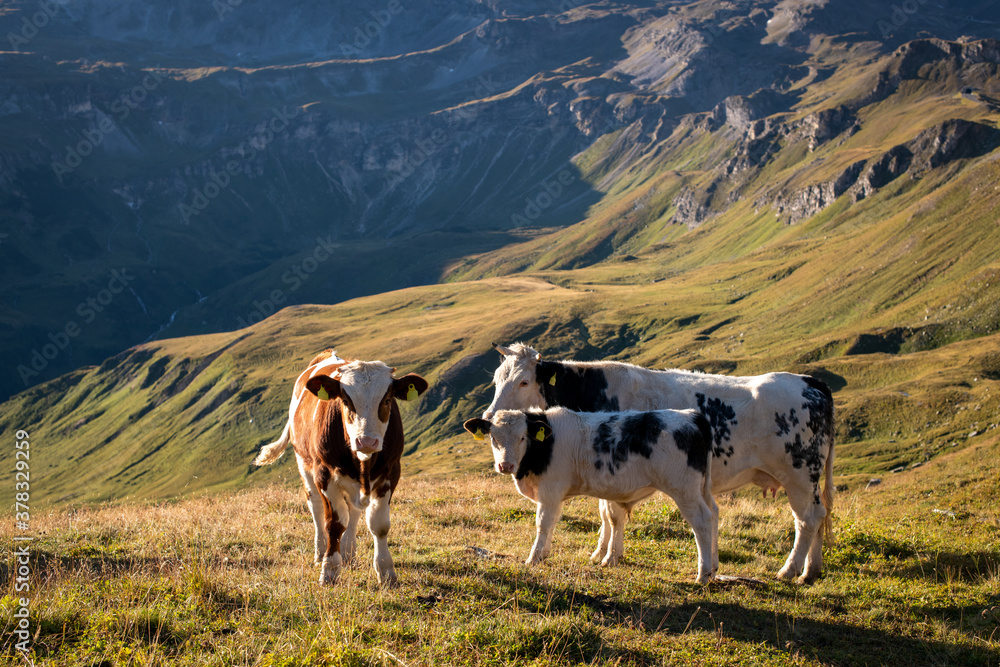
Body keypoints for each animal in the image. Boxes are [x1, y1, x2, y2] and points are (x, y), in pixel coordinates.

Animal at [253, 349, 428, 586]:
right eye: (345, 400)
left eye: (387, 400)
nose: (366, 441)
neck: (363, 462)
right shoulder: (325, 474)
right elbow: (334, 523)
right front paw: (329, 570)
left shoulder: (391, 472)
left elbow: (379, 524)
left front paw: (386, 572)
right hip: (304, 464)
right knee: (317, 508)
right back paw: (320, 553)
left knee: (352, 512)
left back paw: (348, 553)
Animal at [463, 407, 718, 584]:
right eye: (493, 438)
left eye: (522, 437)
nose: (505, 465)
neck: (545, 446)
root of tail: (692, 415)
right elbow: (557, 523)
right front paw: (544, 554)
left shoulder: (550, 491)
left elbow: (543, 524)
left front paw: (533, 558)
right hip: (701, 489)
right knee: (714, 514)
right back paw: (714, 567)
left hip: (684, 490)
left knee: (702, 521)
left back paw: (703, 573)